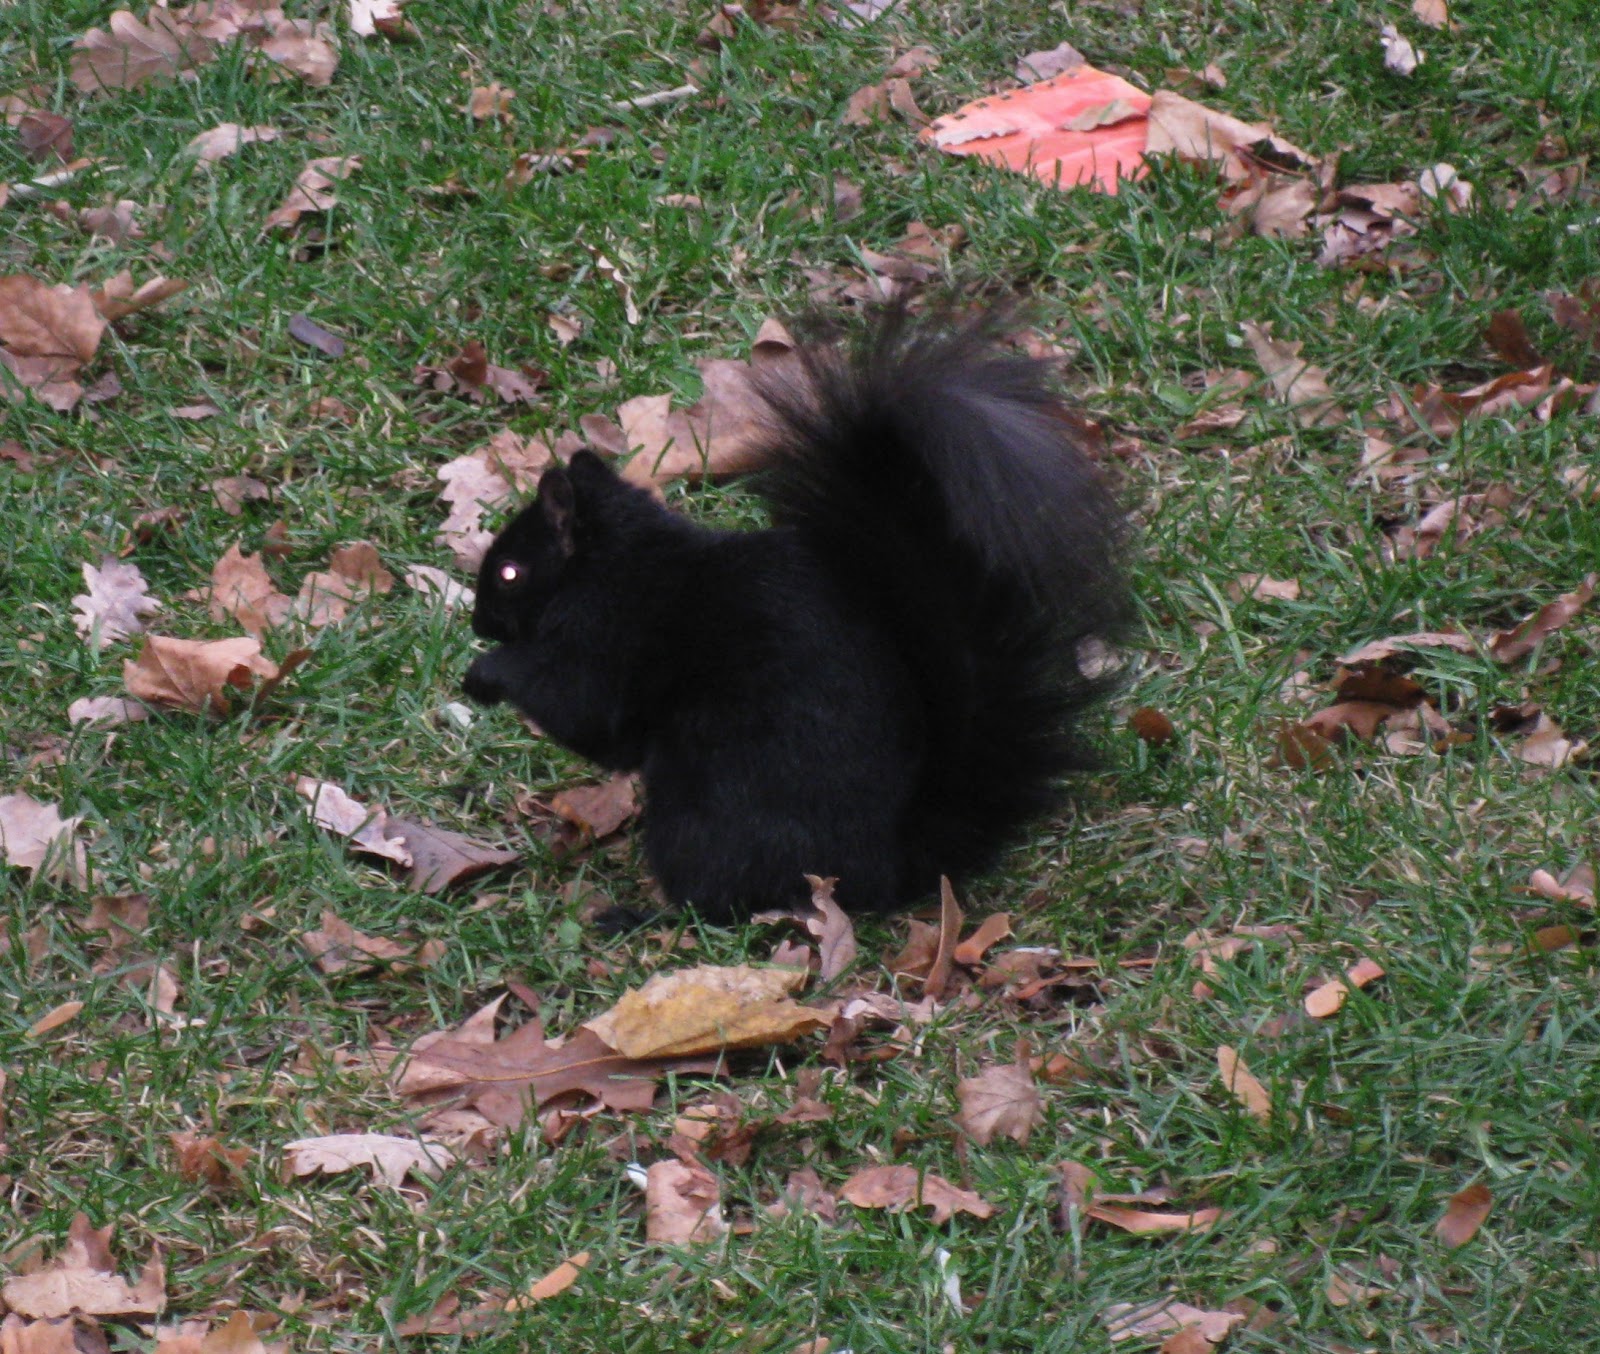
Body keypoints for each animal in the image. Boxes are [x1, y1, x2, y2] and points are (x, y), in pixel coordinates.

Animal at [461, 308, 1131, 924]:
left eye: (510, 573)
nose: (478, 625)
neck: (619, 563)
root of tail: (889, 863)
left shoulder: (604, 639)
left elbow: (584, 713)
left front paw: (489, 672)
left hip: (704, 809)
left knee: (722, 901)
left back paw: (643, 916)